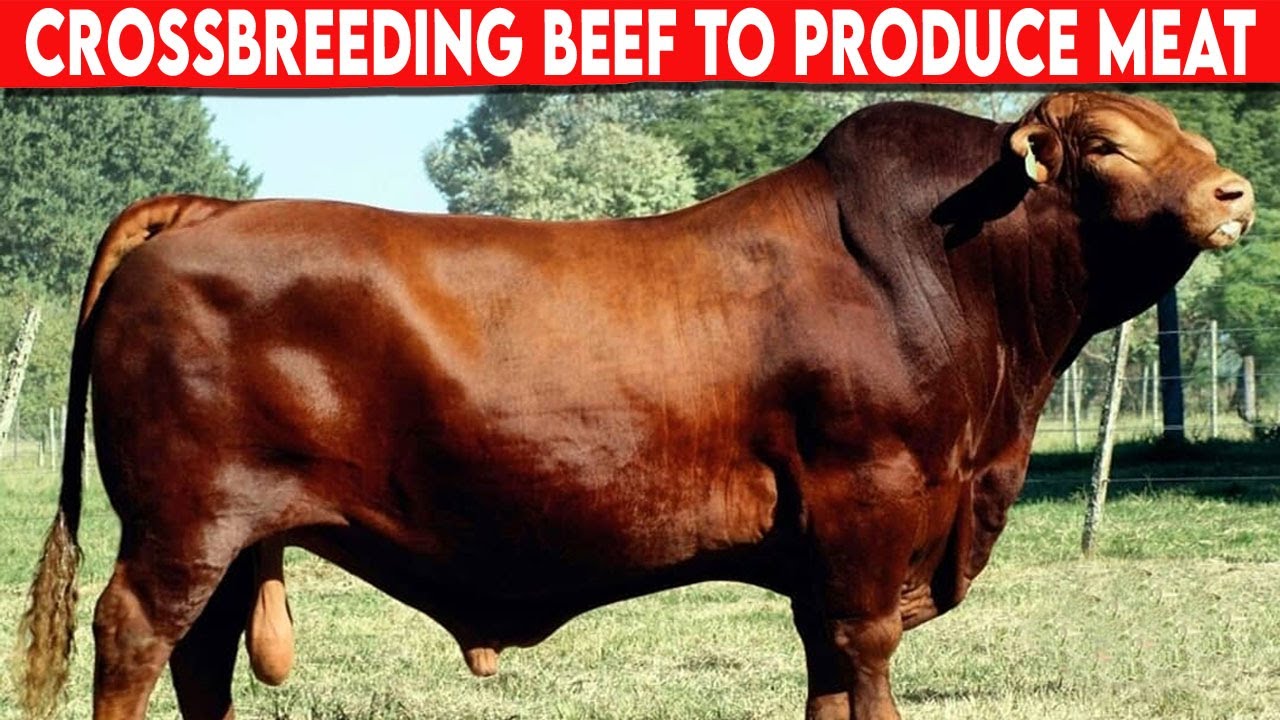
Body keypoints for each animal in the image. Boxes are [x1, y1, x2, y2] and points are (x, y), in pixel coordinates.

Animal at [17, 92, 1254, 720]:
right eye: (1106, 146)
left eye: (1190, 136)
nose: (1232, 193)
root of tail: (203, 211)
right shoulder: (867, 512)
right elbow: (861, 660)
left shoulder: (826, 554)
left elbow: (823, 671)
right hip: (181, 525)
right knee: (135, 637)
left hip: (229, 534)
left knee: (204, 657)